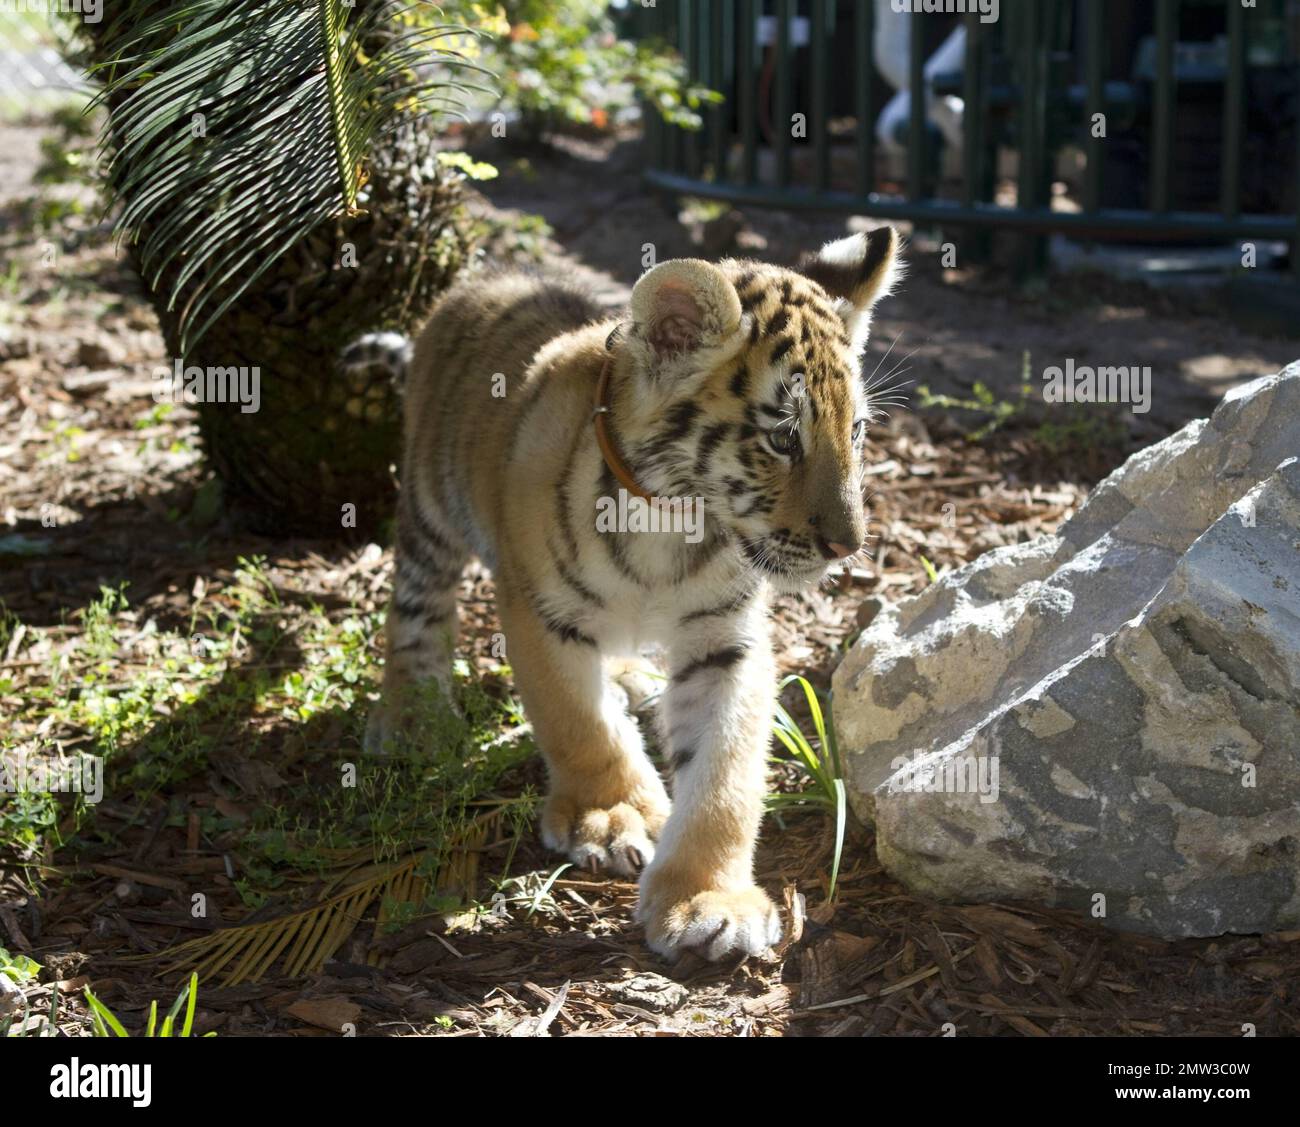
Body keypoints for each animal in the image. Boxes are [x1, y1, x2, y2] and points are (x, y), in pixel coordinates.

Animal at [358, 226, 902, 961]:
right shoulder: (537, 610)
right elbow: (576, 721)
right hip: (430, 503)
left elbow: (725, 772)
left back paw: (632, 680)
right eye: (783, 438)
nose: (849, 544)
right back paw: (414, 715)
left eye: (857, 431)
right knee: (416, 604)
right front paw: (612, 816)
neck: (674, 518)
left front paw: (709, 901)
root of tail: (479, 281)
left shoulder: (724, 638)